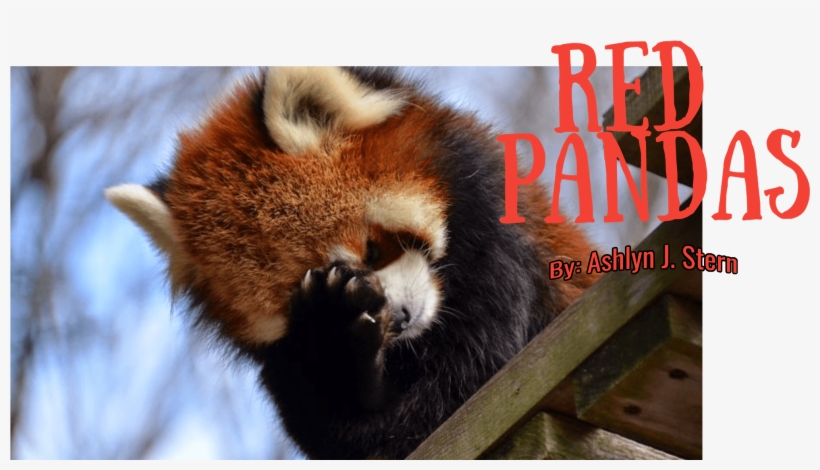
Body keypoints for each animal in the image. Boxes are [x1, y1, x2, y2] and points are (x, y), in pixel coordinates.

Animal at [106, 67, 599, 459]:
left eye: (372, 250)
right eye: (297, 293)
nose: (399, 318)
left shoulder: (501, 260)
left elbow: (454, 399)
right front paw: (336, 339)